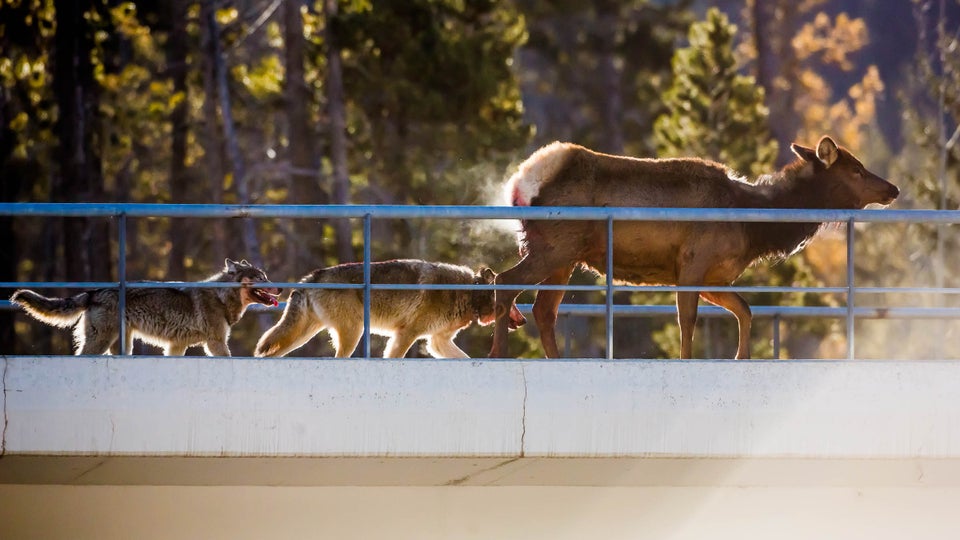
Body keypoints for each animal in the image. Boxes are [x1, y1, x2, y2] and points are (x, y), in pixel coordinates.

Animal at [11, 258, 281, 356]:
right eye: (260, 277)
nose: (280, 287)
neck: (222, 296)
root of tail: (94, 291)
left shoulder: (176, 346)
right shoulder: (215, 343)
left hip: (122, 345)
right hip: (102, 342)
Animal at [254, 259, 517, 358]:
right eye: (513, 300)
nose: (523, 321)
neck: (469, 293)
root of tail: (313, 277)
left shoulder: (437, 342)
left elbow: (464, 358)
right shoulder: (407, 334)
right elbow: (394, 357)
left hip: (302, 337)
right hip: (354, 333)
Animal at [488, 136, 900, 359]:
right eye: (857, 169)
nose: (892, 189)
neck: (754, 226)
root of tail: (520, 183)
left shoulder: (714, 277)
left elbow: (744, 309)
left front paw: (742, 356)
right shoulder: (692, 263)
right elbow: (687, 320)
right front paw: (688, 359)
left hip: (565, 257)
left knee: (543, 309)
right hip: (555, 247)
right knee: (504, 282)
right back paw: (497, 352)